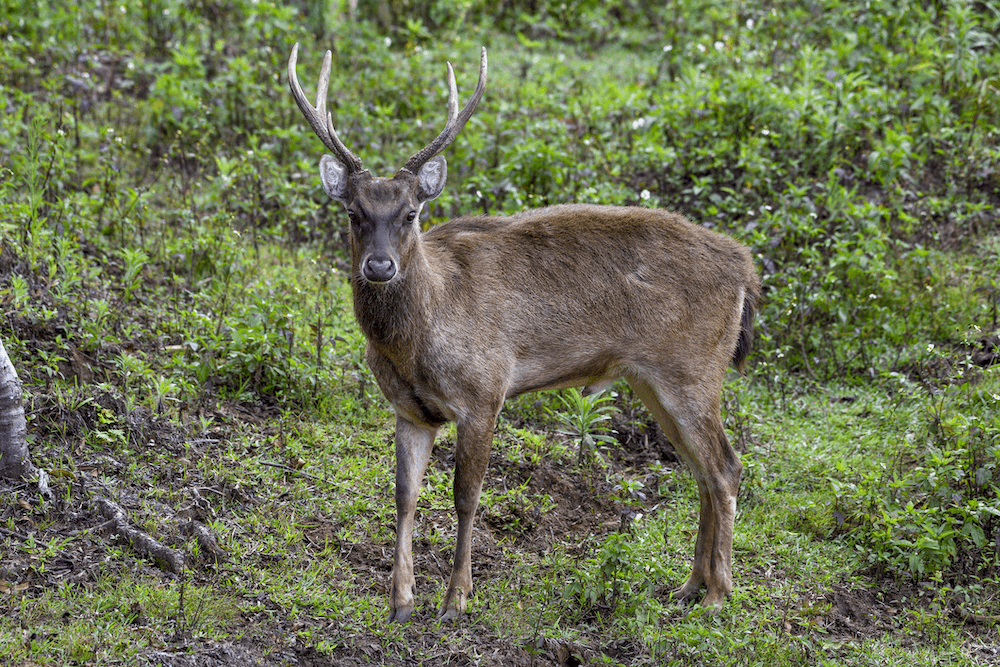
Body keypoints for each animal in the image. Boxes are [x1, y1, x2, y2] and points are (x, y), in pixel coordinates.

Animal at [287, 43, 761, 623]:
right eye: (353, 212)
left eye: (411, 213)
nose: (379, 266)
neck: (414, 343)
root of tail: (745, 269)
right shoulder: (408, 408)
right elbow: (403, 496)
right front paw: (400, 603)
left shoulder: (484, 392)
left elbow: (465, 496)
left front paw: (455, 599)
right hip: (653, 380)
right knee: (701, 472)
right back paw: (688, 587)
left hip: (692, 369)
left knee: (726, 467)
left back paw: (718, 595)